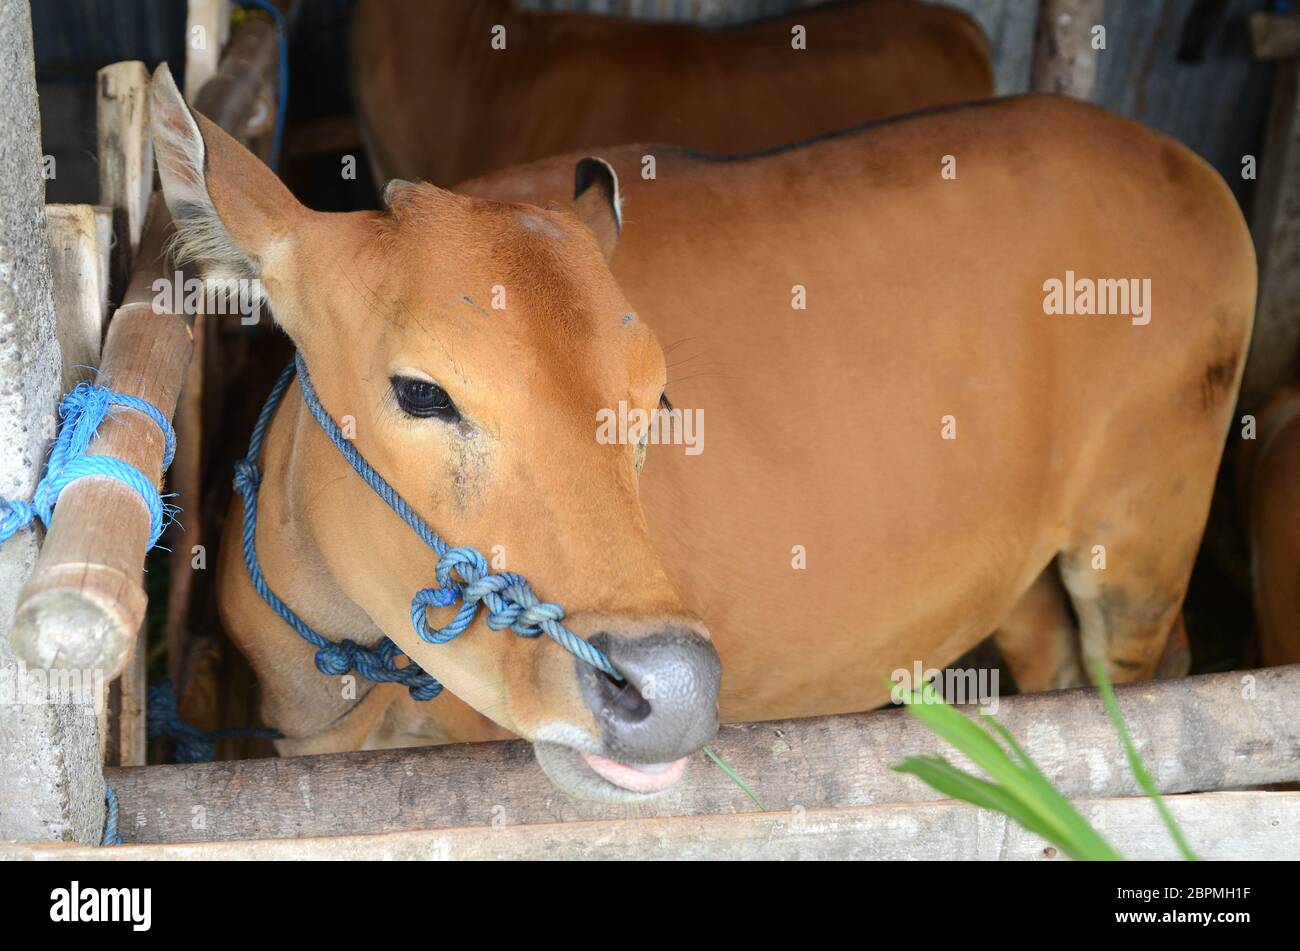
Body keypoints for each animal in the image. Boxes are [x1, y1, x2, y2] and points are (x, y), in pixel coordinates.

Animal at [149, 63, 1254, 801]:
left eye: (655, 404)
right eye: (421, 391)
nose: (671, 689)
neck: (337, 692)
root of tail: (1183, 166)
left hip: (1141, 538)